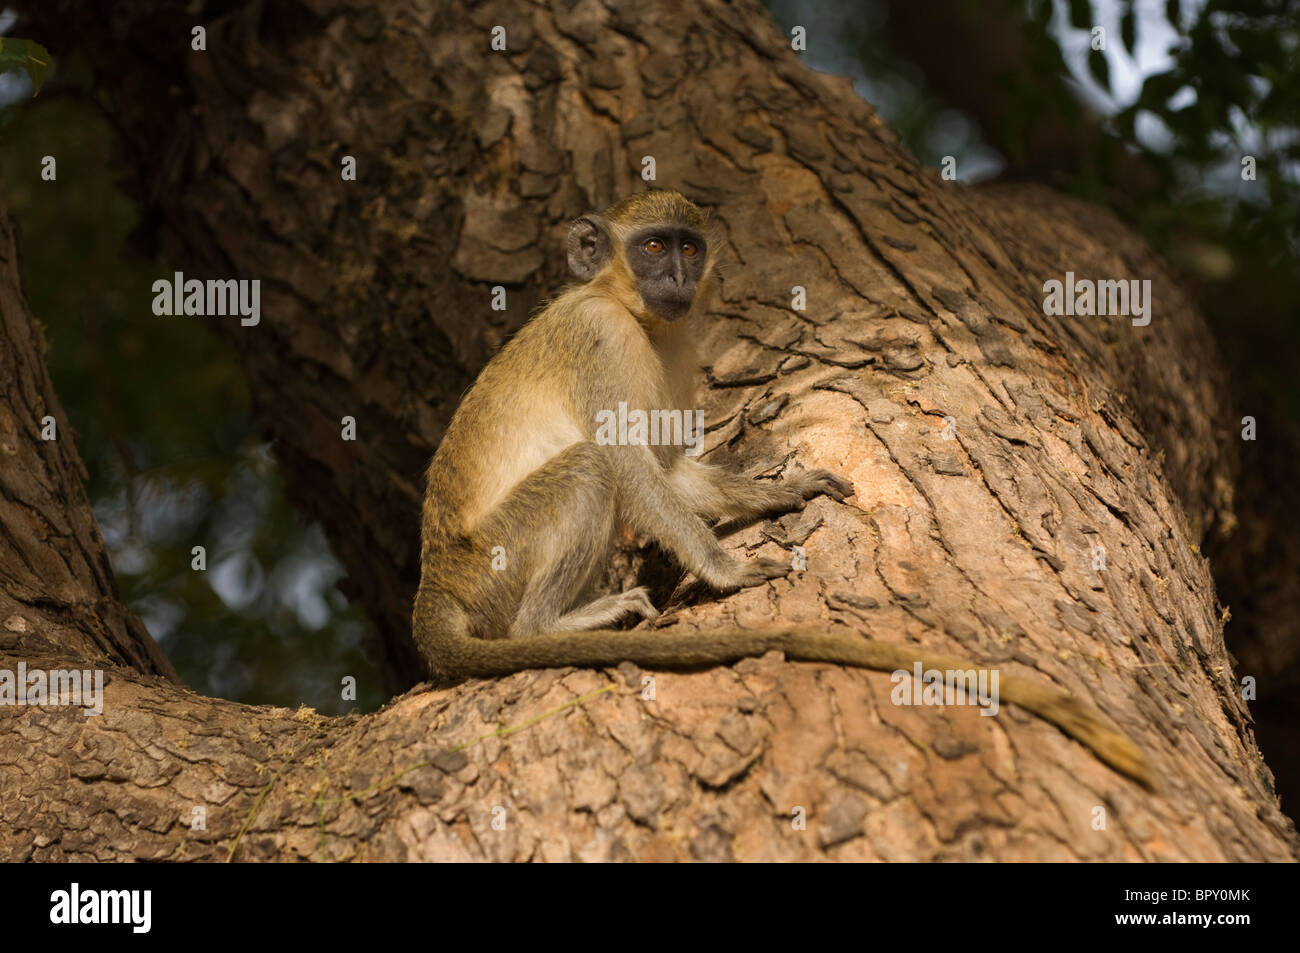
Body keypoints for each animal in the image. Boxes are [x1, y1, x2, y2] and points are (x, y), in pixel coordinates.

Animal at [412, 190, 1152, 788]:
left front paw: (778, 493)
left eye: (688, 246)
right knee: (590, 470)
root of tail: (435, 585)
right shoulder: (596, 337)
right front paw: (725, 568)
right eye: (651, 247)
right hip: (495, 561)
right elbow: (628, 464)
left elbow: (667, 467)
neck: (637, 317)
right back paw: (556, 623)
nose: (676, 275)